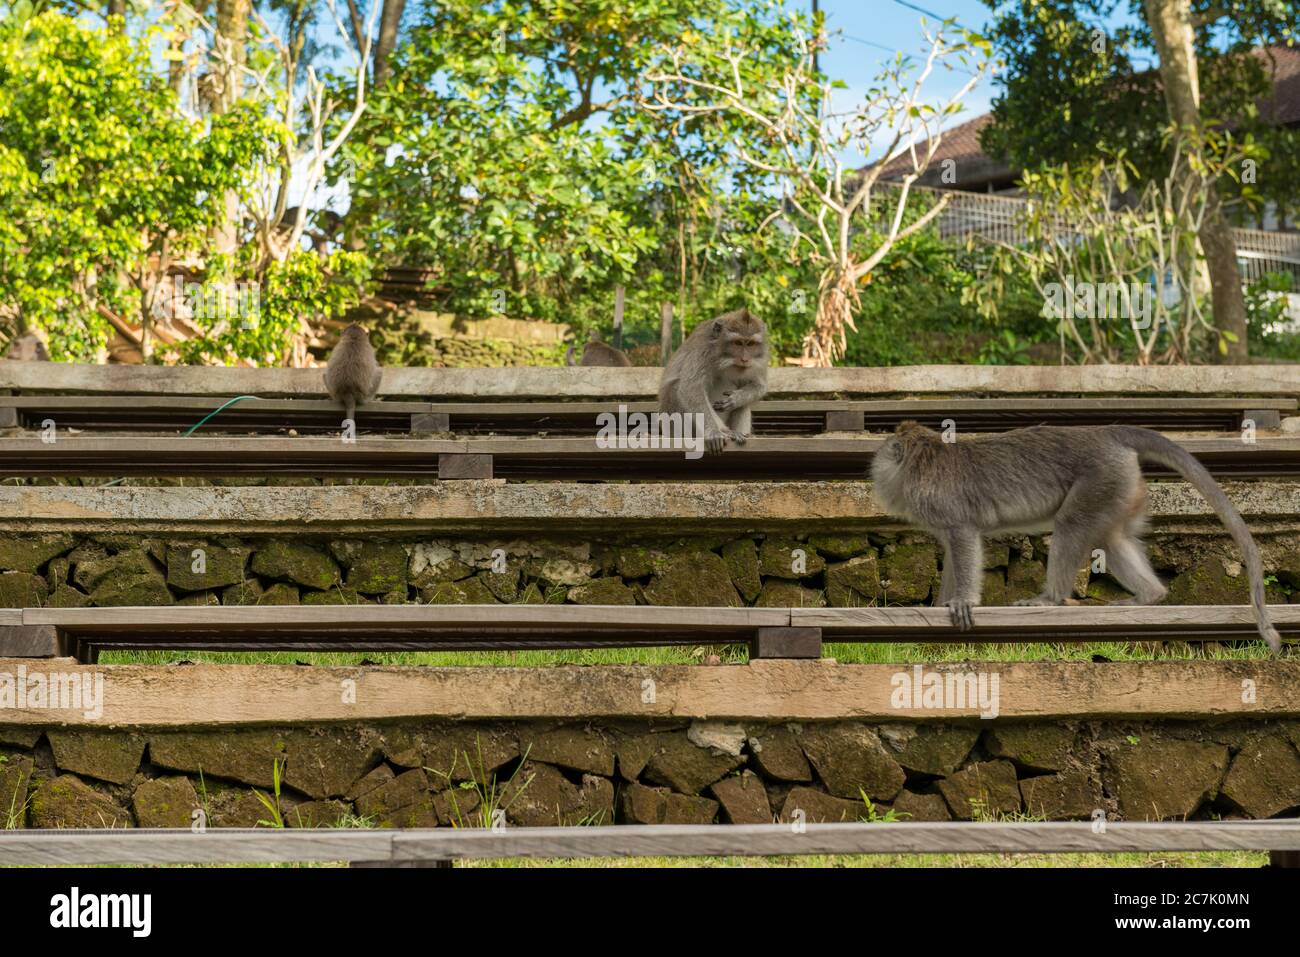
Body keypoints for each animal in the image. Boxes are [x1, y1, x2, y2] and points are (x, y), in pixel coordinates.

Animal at [659, 308, 769, 454]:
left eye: (750, 344)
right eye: (738, 343)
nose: (745, 359)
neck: (723, 359)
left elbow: (759, 385)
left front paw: (736, 399)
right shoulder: (702, 351)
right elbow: (691, 389)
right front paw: (715, 432)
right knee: (674, 387)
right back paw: (726, 431)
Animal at [871, 421, 1282, 653]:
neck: (922, 460)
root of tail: (1104, 433)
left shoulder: (943, 504)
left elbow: (964, 538)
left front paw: (963, 602)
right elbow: (952, 549)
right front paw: (942, 603)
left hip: (1101, 477)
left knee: (1070, 523)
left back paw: (1050, 599)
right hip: (1121, 484)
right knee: (1110, 538)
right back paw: (1149, 596)